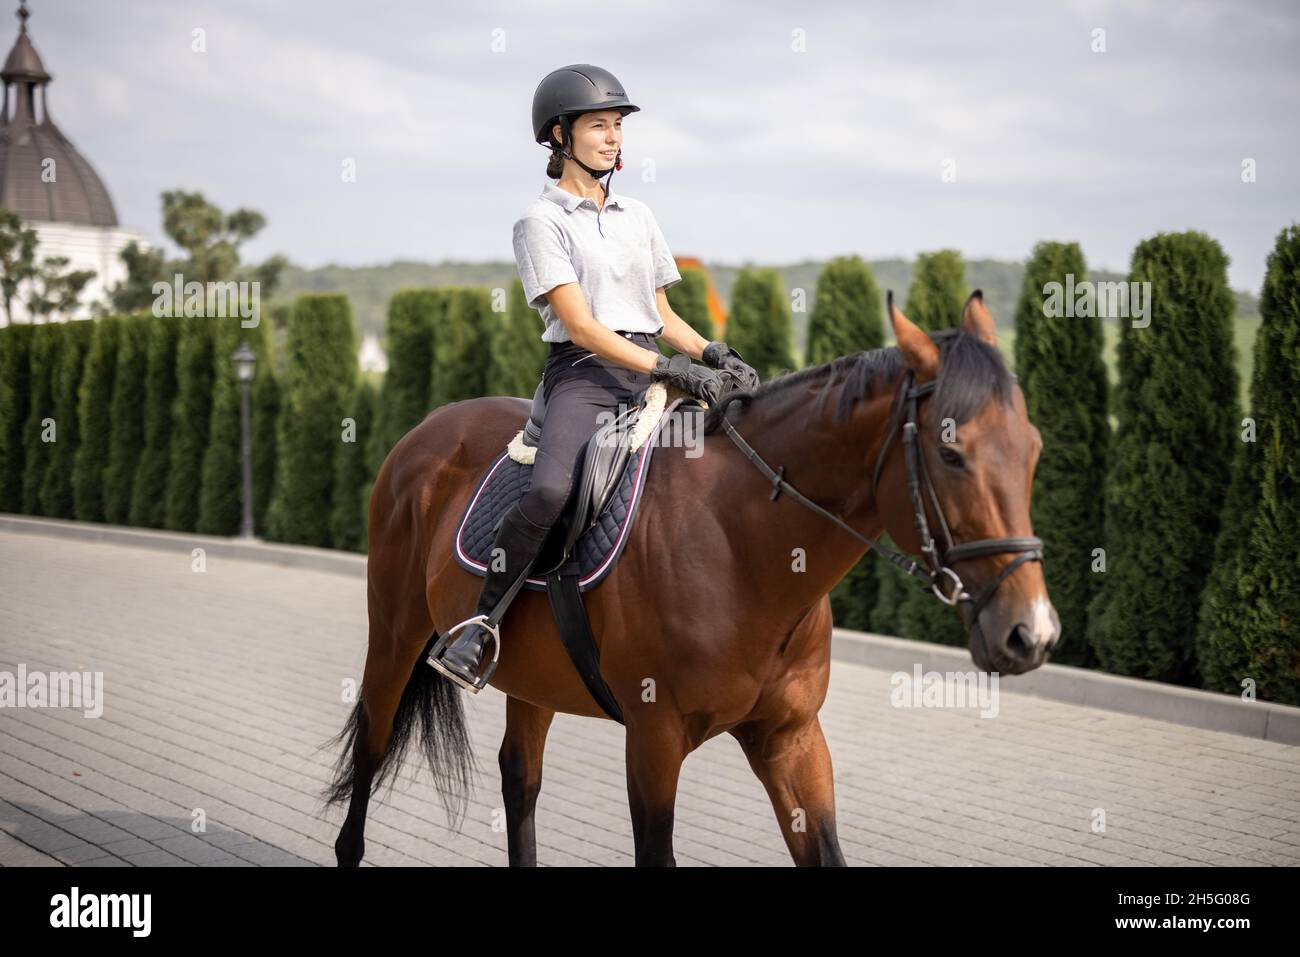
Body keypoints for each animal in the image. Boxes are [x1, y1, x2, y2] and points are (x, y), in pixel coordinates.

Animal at [324, 289, 1060, 866]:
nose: (1031, 635)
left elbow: (825, 849)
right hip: (395, 635)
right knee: (371, 749)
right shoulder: (653, 740)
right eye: (950, 453)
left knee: (519, 779)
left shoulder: (792, 738)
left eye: (1033, 449)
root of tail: (426, 430)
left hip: (531, 675)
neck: (743, 549)